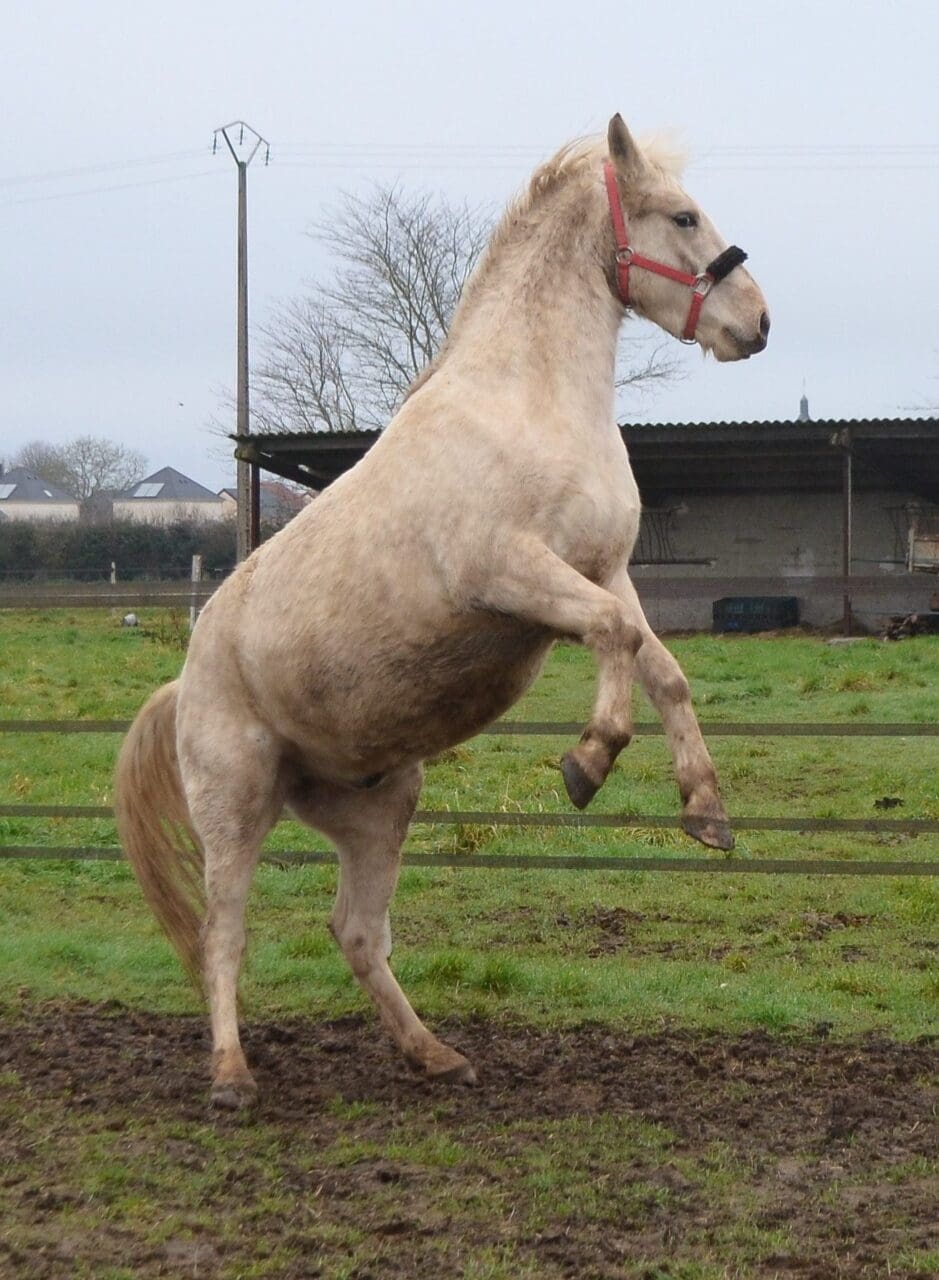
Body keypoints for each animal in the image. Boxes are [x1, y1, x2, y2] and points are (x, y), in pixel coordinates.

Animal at [115, 114, 769, 1109]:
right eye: (683, 216)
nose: (758, 322)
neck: (530, 401)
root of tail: (182, 682)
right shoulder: (510, 572)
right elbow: (616, 642)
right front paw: (586, 762)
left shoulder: (605, 569)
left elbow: (662, 668)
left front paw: (705, 810)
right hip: (235, 801)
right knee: (223, 928)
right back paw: (231, 1077)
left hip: (377, 807)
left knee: (355, 931)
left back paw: (434, 1054)